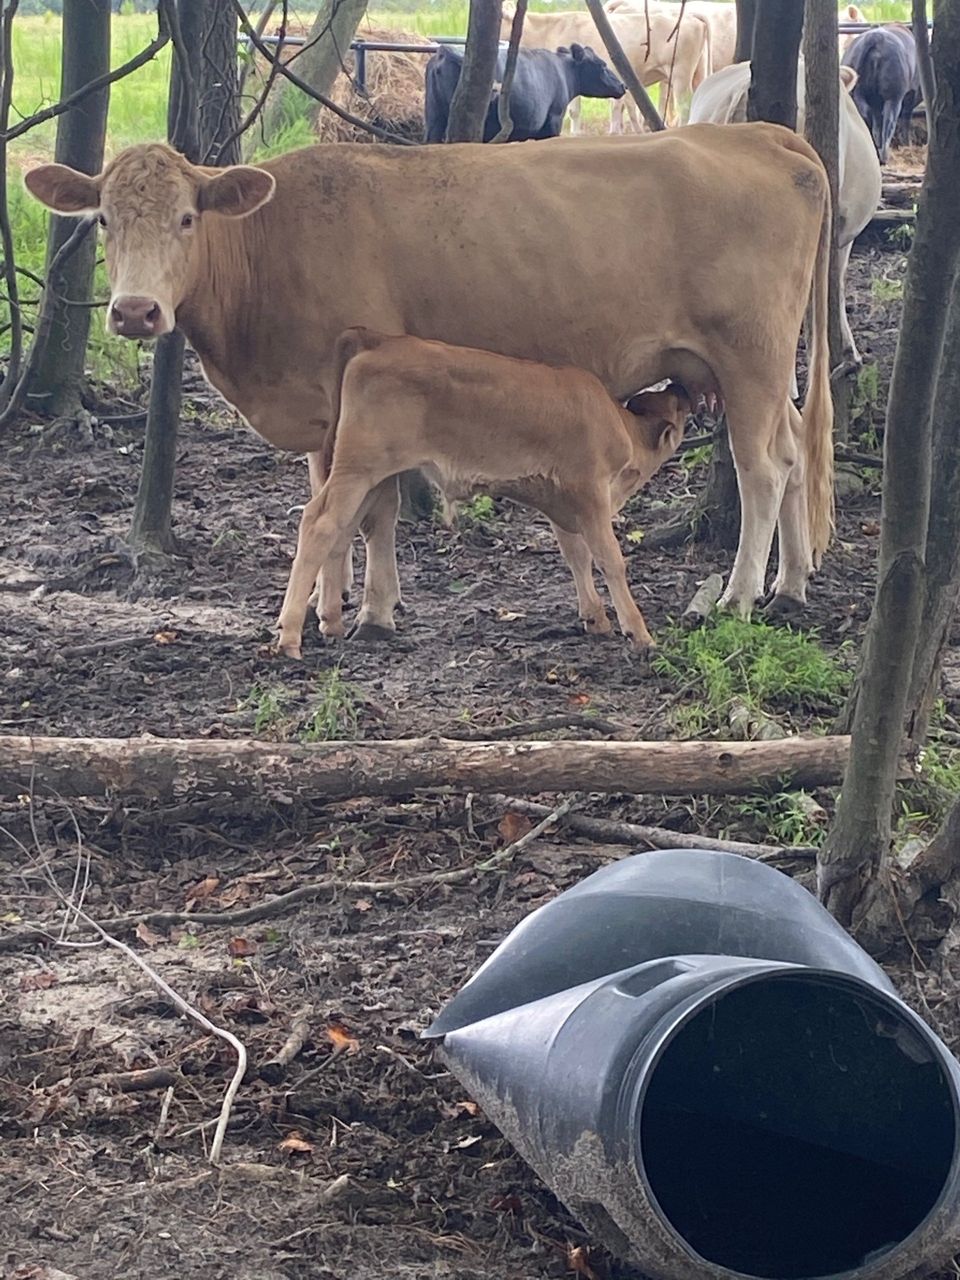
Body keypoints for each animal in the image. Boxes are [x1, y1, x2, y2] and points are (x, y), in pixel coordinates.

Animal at [277, 328, 690, 658]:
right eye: (680, 408)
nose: (681, 386)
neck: (622, 429)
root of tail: (376, 340)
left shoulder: (564, 505)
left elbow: (576, 555)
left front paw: (595, 617)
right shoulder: (589, 494)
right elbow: (610, 559)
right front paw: (638, 632)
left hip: (367, 474)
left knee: (344, 528)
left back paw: (330, 620)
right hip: (358, 468)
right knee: (319, 522)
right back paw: (289, 637)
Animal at [424, 42, 625, 143]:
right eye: (602, 65)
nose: (623, 85)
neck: (563, 68)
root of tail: (444, 51)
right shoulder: (554, 119)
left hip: (434, 120)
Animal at [502, 7, 710, 131]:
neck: (549, 28)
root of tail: (690, 15)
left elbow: (573, 111)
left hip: (680, 74)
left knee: (684, 106)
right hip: (696, 73)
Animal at [842, 24, 921, 163]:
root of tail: (876, 37)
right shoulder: (911, 92)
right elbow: (906, 118)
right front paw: (906, 144)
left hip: (858, 93)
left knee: (867, 115)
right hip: (893, 98)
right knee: (888, 124)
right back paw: (883, 156)